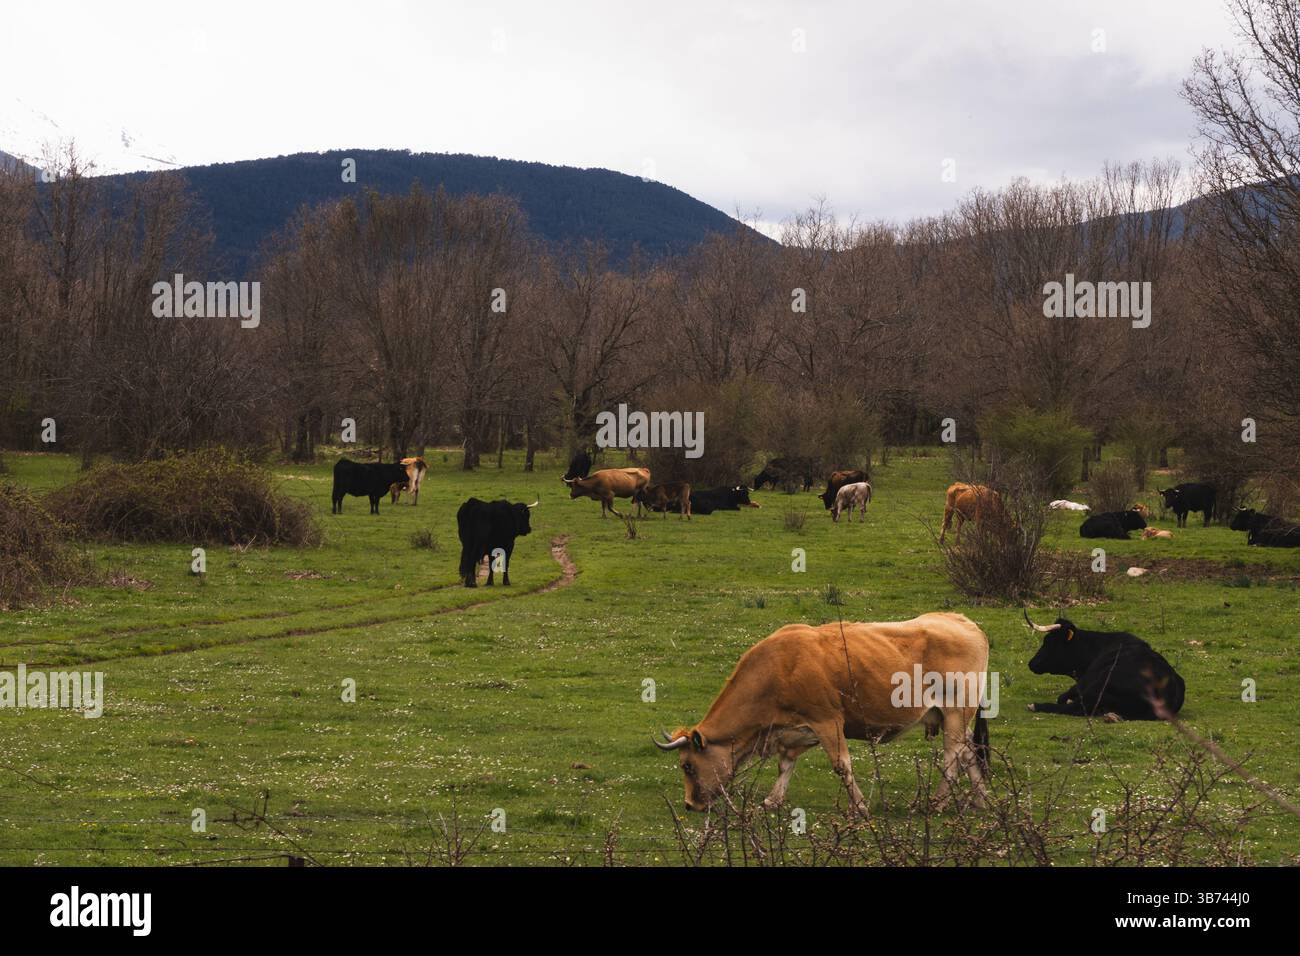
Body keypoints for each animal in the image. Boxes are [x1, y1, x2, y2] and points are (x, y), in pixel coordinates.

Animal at [654, 613, 990, 813]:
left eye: (687, 765)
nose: (689, 804)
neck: (778, 667)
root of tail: (961, 620)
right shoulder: (794, 730)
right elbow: (785, 764)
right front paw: (773, 799)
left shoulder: (827, 721)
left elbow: (841, 765)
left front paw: (860, 806)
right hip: (956, 715)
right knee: (968, 751)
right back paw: (982, 797)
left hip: (956, 710)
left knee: (952, 755)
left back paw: (939, 801)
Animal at [1023, 610, 1185, 721]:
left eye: (1049, 641)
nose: (1031, 663)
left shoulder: (1083, 683)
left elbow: (1062, 697)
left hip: (1097, 687)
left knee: (1073, 707)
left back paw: (1035, 705)